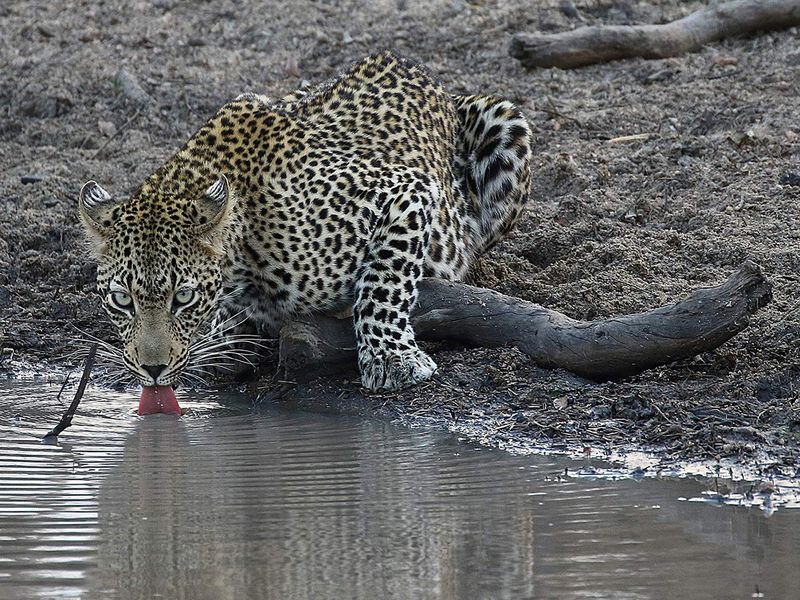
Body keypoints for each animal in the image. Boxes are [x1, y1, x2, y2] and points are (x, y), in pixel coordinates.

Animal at [78, 51, 532, 393]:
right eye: (122, 300)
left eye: (184, 298)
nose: (152, 371)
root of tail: (419, 70)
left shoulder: (403, 189)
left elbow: (384, 283)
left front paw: (391, 358)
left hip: (507, 122)